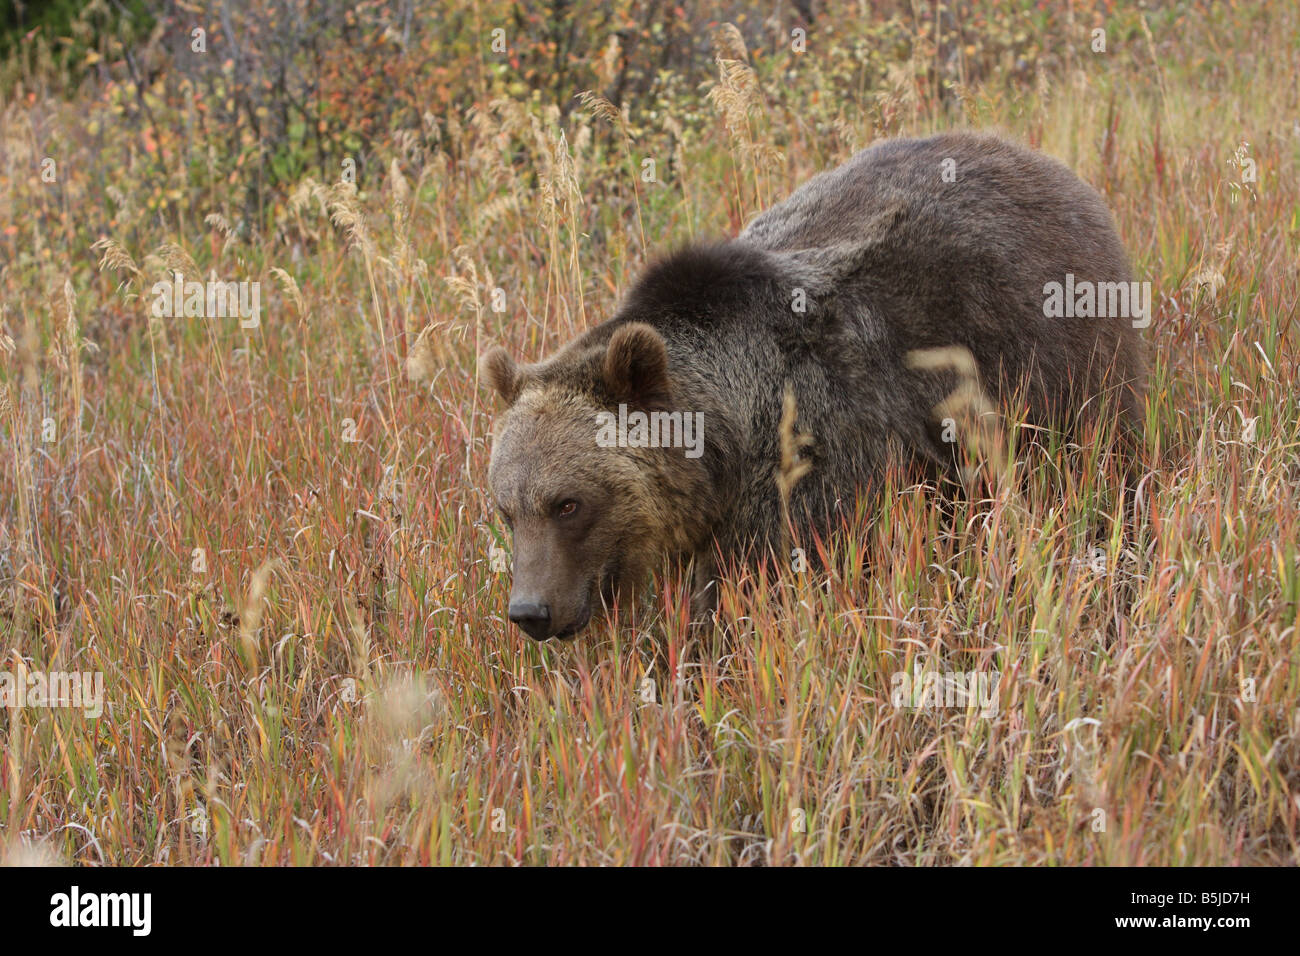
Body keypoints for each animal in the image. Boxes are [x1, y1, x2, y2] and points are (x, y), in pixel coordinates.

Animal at [480, 131, 1147, 641]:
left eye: (569, 503)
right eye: (506, 509)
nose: (530, 612)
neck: (724, 441)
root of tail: (1050, 166)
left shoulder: (812, 461)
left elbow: (760, 589)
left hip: (1060, 358)